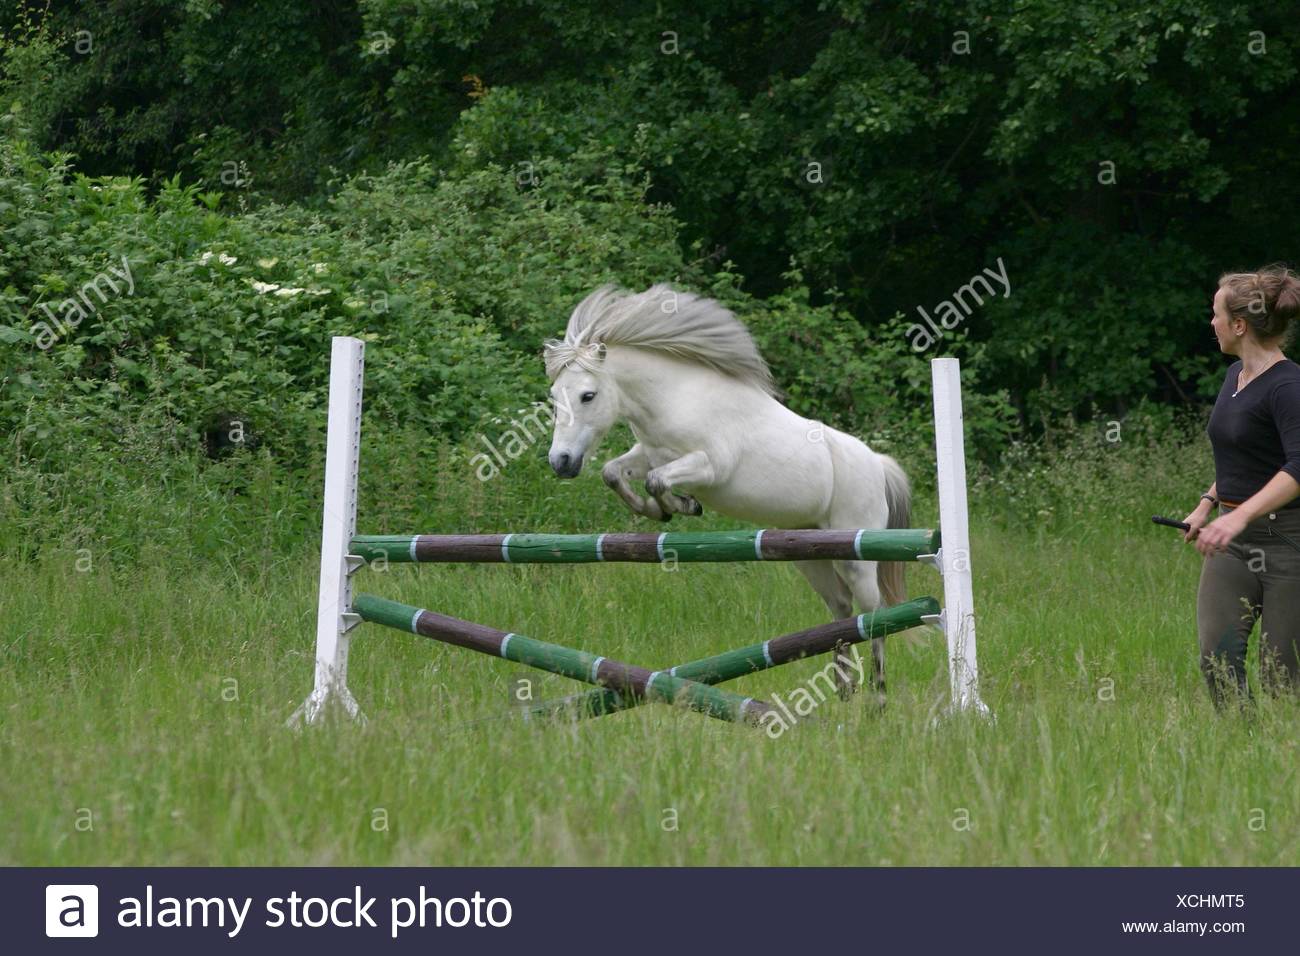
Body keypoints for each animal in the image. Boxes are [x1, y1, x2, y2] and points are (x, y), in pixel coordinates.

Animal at [543, 283, 913, 703]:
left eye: (587, 395)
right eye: (554, 396)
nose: (561, 461)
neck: (675, 397)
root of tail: (878, 464)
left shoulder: (708, 466)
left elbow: (657, 481)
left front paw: (682, 505)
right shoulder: (650, 454)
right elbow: (615, 473)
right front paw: (661, 510)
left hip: (856, 556)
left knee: (874, 615)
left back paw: (877, 697)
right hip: (811, 554)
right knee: (840, 608)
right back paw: (843, 688)